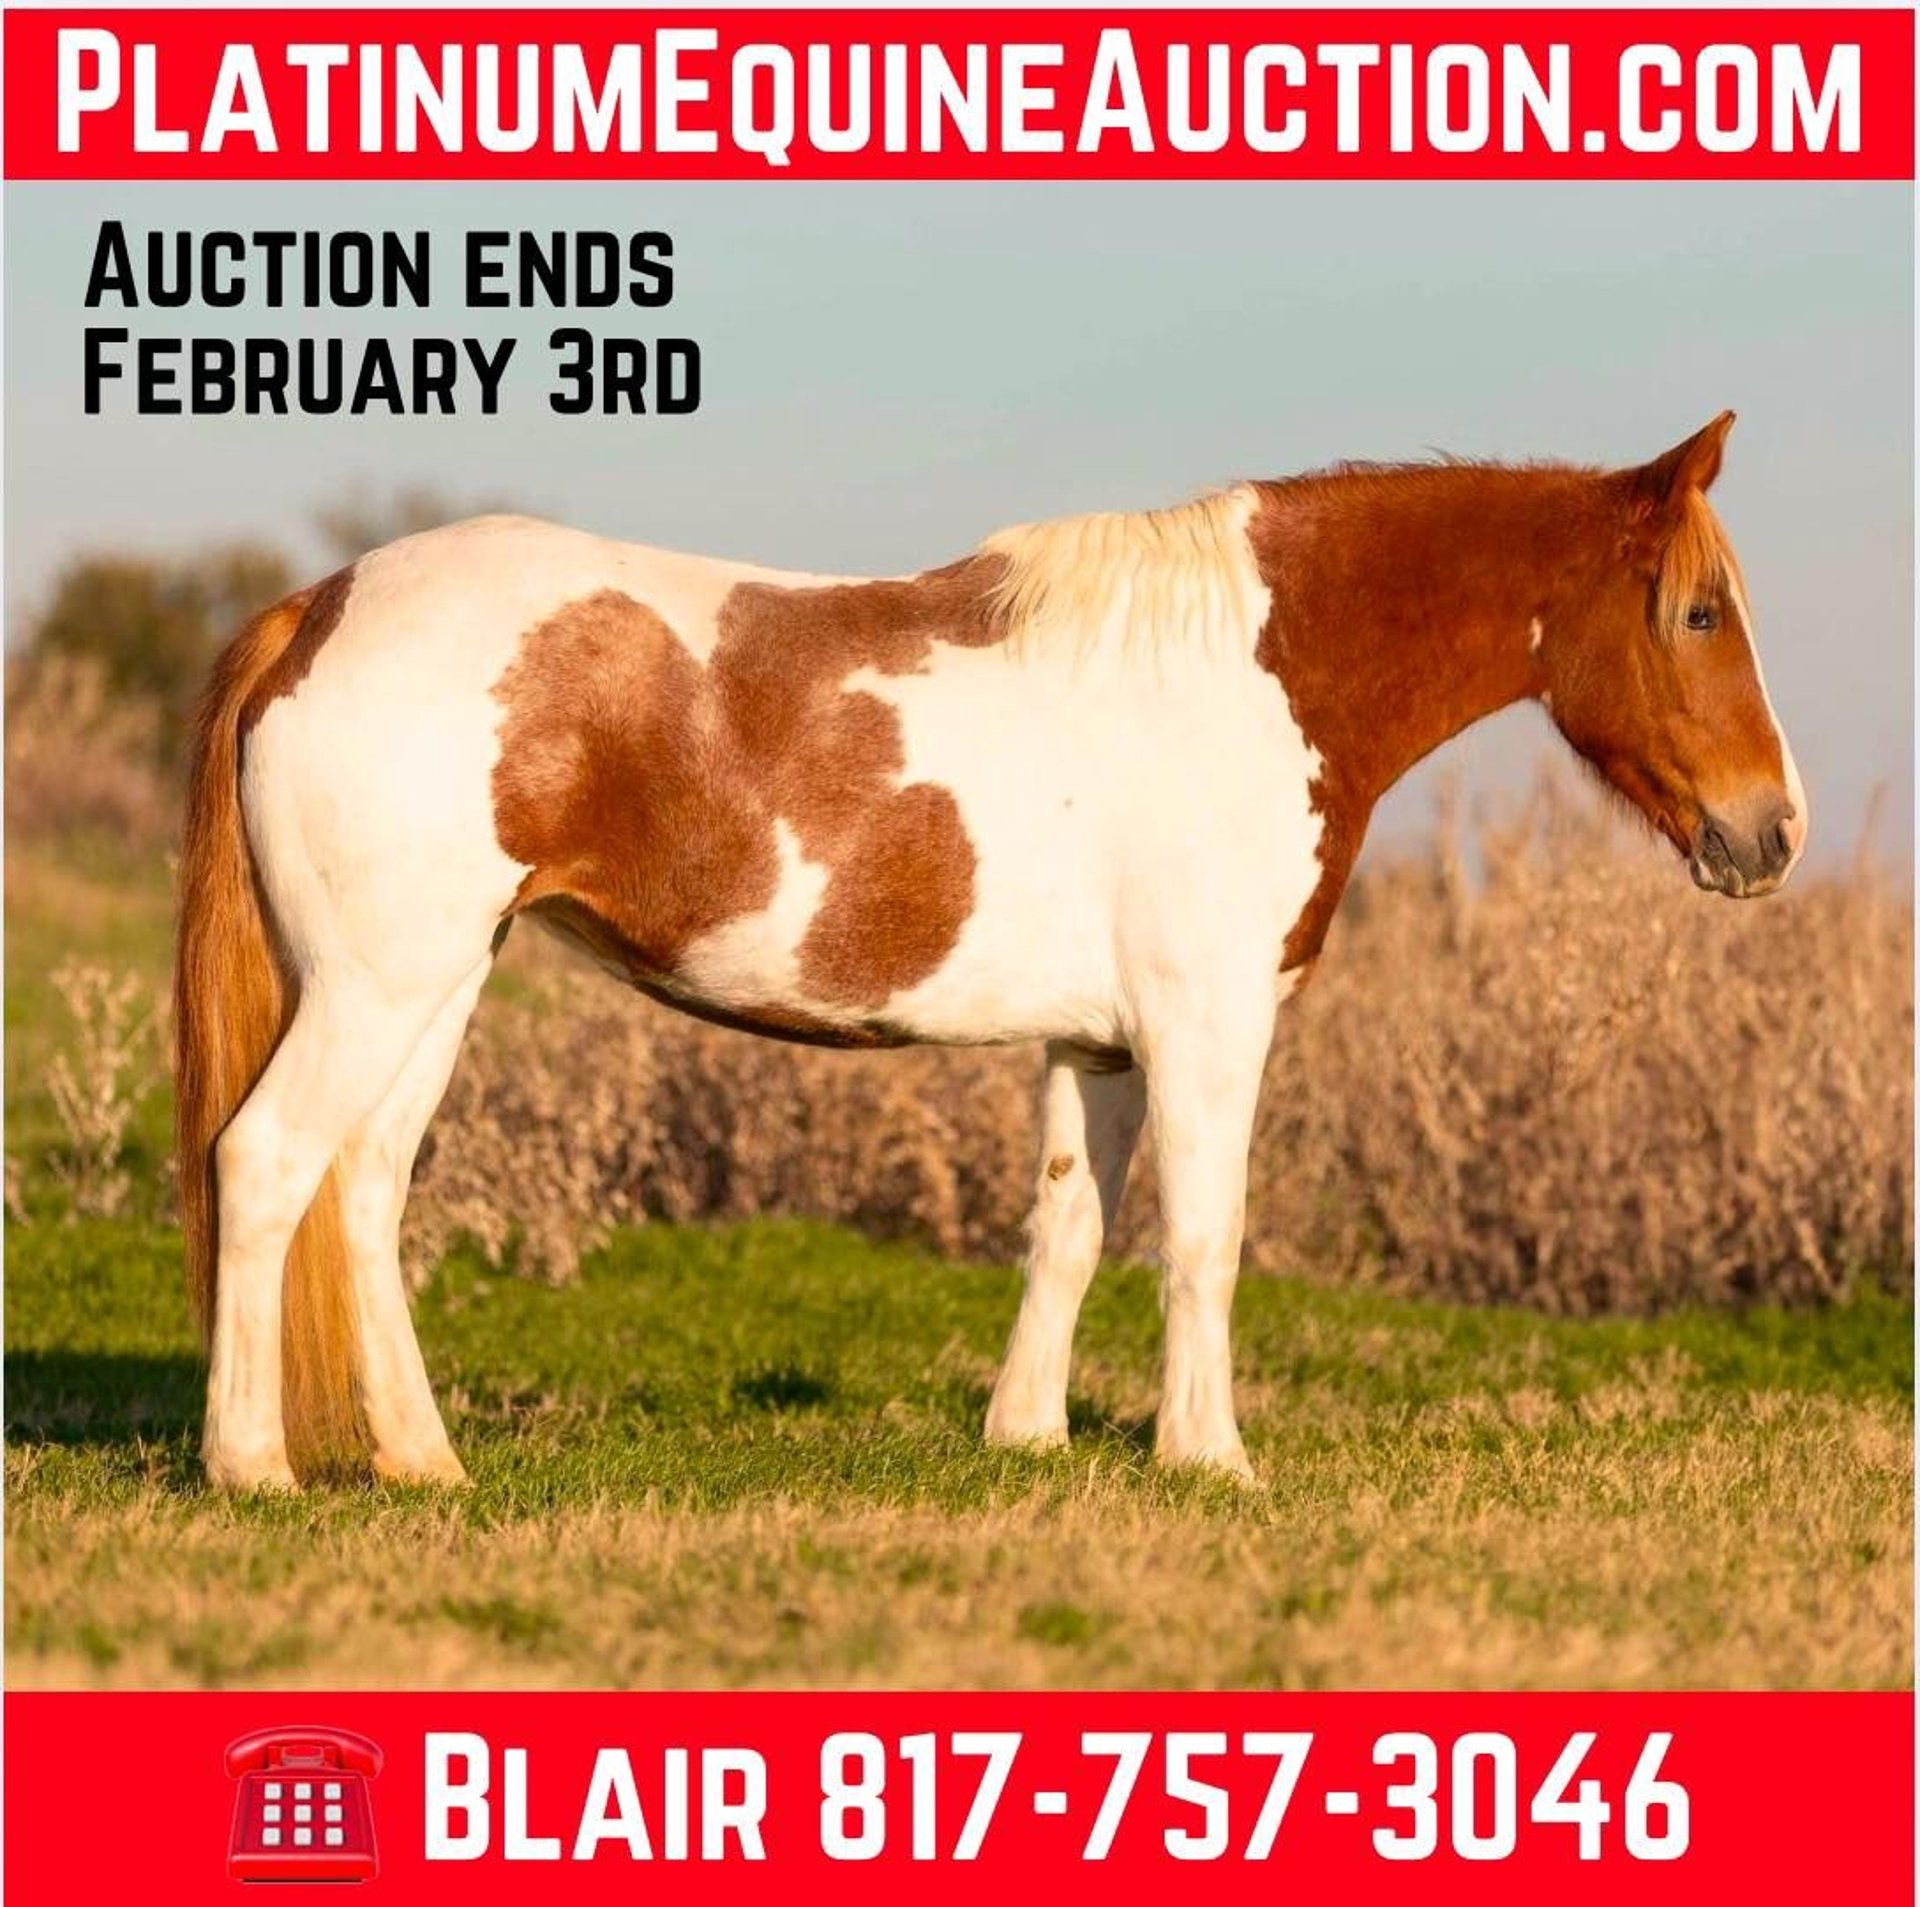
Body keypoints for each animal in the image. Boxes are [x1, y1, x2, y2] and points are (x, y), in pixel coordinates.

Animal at [175, 411, 1805, 1490]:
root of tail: (316, 607)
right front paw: (1210, 1458)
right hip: (380, 983)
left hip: (437, 984)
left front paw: (1028, 1435)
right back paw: (252, 1464)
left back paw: (425, 1464)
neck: (1260, 674)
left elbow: (1069, 1226)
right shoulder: (1207, 1027)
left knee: (364, 1188)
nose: (1772, 830)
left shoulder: (1100, 1043)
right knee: (266, 1162)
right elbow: (1204, 1237)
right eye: (1699, 612)